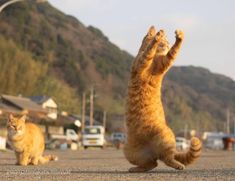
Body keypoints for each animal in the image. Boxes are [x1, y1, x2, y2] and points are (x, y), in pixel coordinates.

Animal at [123, 25, 202, 173]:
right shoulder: (142, 62)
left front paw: (179, 37)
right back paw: (136, 168)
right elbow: (149, 49)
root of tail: (153, 150)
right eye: (165, 41)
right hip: (130, 152)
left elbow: (172, 52)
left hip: (165, 137)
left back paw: (177, 165)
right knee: (152, 163)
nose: (167, 44)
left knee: (165, 159)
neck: (154, 59)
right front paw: (157, 37)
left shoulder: (164, 62)